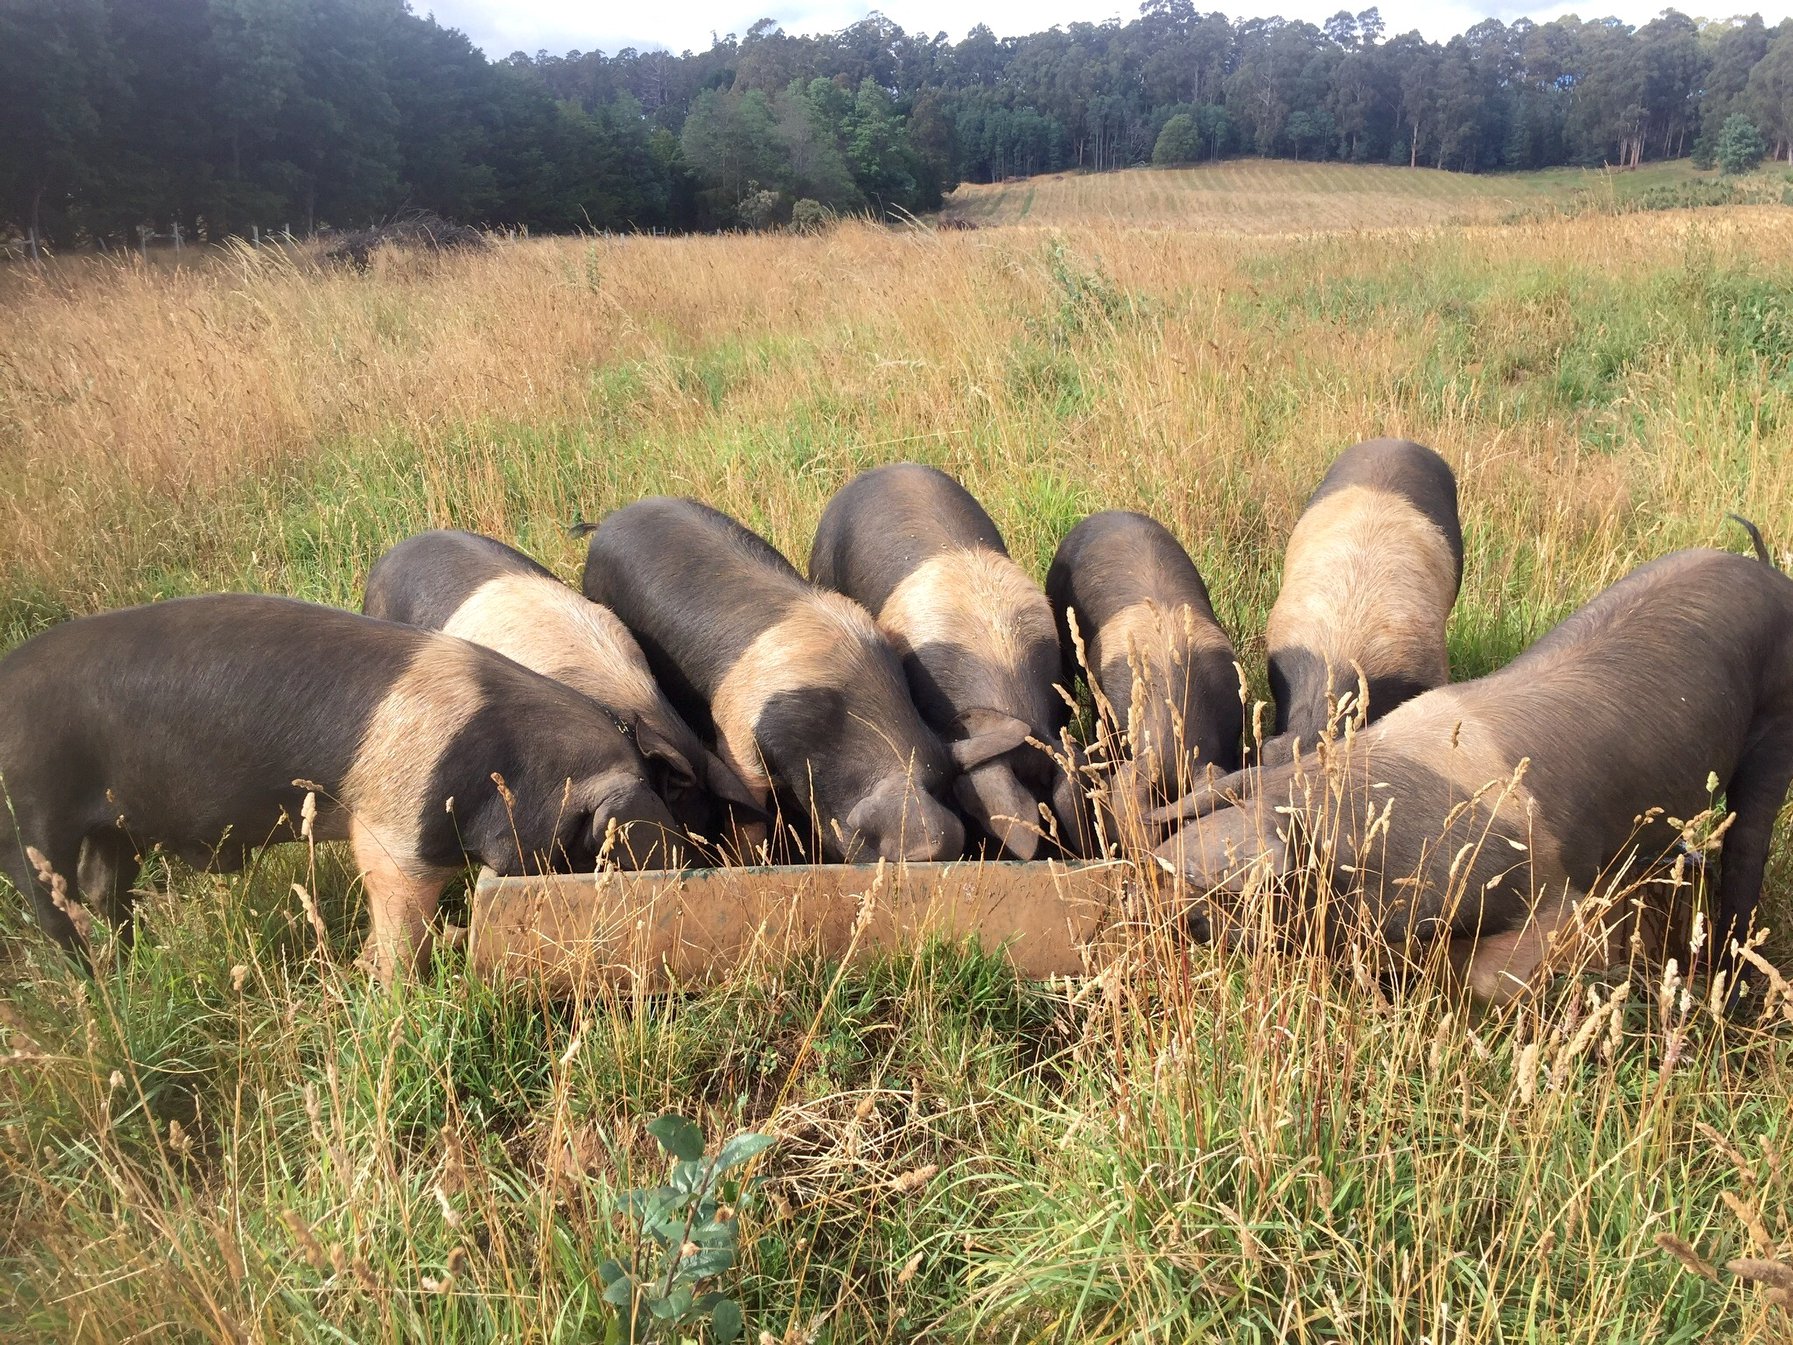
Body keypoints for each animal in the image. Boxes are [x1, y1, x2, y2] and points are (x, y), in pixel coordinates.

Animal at [0, 594, 683, 978]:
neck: (499, 758)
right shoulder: (391, 828)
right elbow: (397, 909)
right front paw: (387, 983)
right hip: (31, 818)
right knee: (54, 906)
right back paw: (92, 981)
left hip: (114, 829)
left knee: (102, 889)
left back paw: (130, 960)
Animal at [578, 498, 964, 863]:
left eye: (941, 785)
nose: (939, 843)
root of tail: (611, 519)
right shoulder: (737, 732)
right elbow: (750, 812)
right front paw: (747, 860)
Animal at [1152, 543, 1793, 1004]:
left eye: (1221, 890)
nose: (1157, 889)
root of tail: (1766, 570)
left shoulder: (1558, 890)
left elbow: (1501, 975)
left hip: (1775, 731)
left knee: (1749, 843)